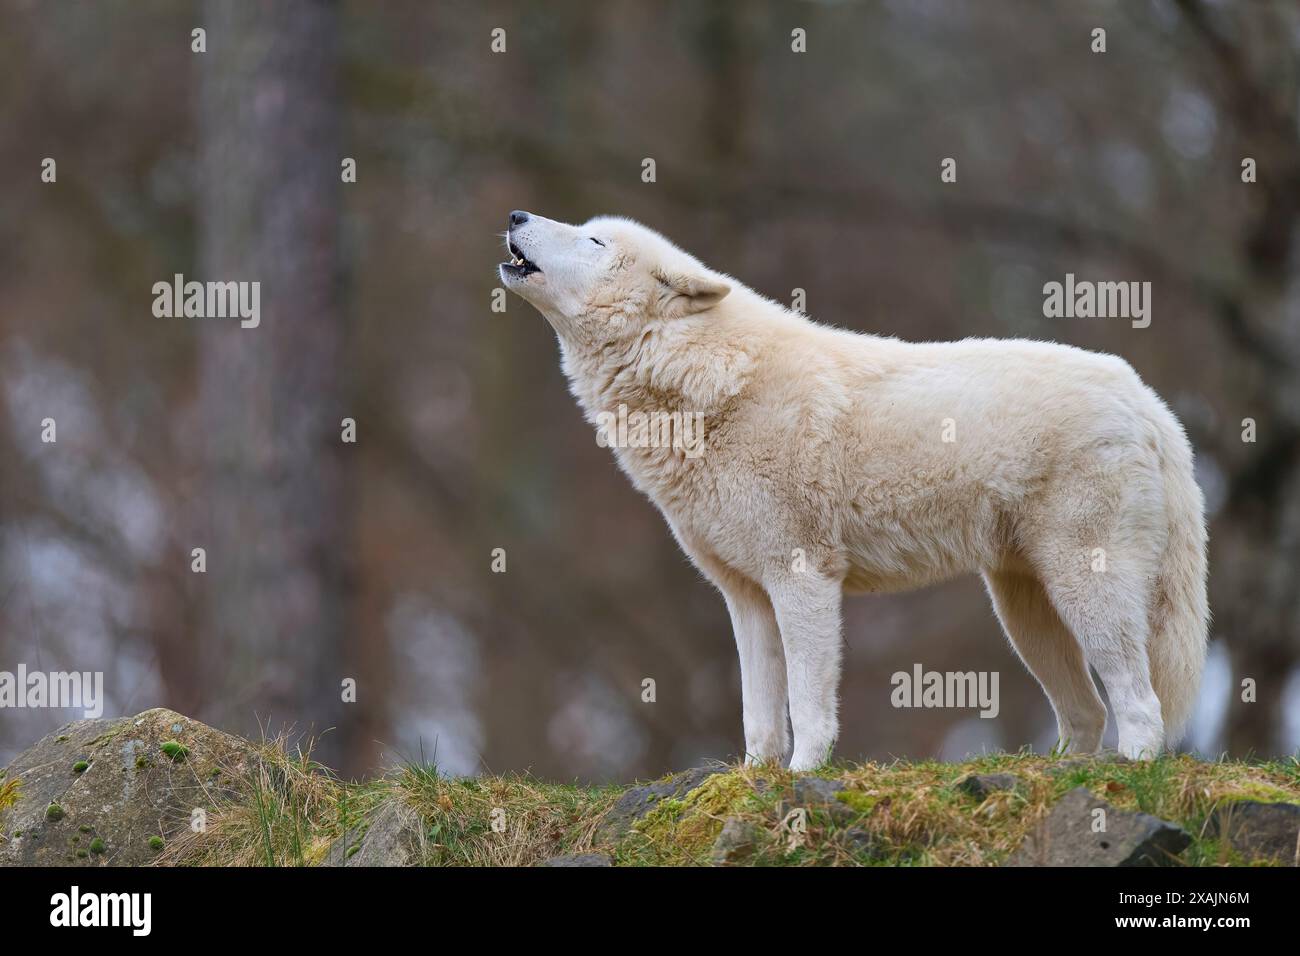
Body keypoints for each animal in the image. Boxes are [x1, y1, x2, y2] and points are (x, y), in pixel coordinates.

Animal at [499, 210, 1208, 771]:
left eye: (593, 240)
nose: (515, 215)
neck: (706, 385)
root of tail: (1149, 403)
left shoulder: (803, 578)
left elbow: (810, 706)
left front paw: (802, 779)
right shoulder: (746, 597)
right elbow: (760, 716)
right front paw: (754, 780)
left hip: (1086, 589)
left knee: (1140, 705)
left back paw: (1128, 772)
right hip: (1024, 612)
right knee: (1086, 713)